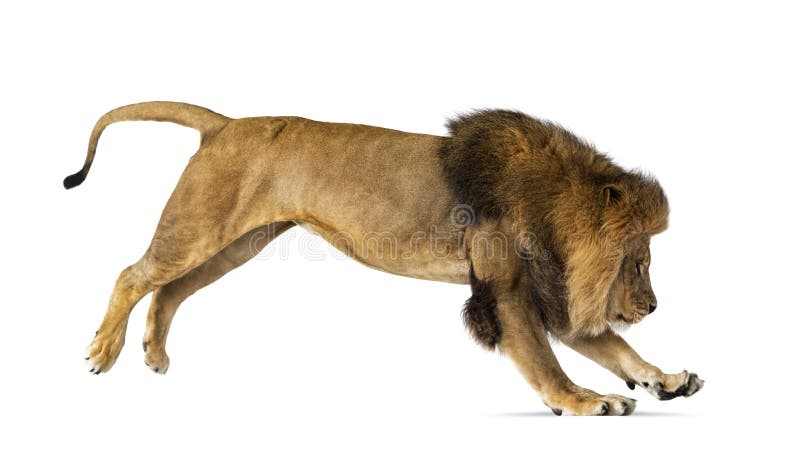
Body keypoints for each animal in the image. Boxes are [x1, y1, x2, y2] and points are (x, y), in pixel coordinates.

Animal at [66, 102, 703, 415]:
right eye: (638, 262)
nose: (652, 306)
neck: (556, 211)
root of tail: (224, 124)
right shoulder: (507, 291)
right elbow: (547, 362)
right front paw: (585, 401)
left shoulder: (550, 291)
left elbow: (616, 349)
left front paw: (667, 380)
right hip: (200, 226)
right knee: (132, 275)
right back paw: (102, 352)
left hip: (238, 242)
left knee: (171, 290)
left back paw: (153, 353)